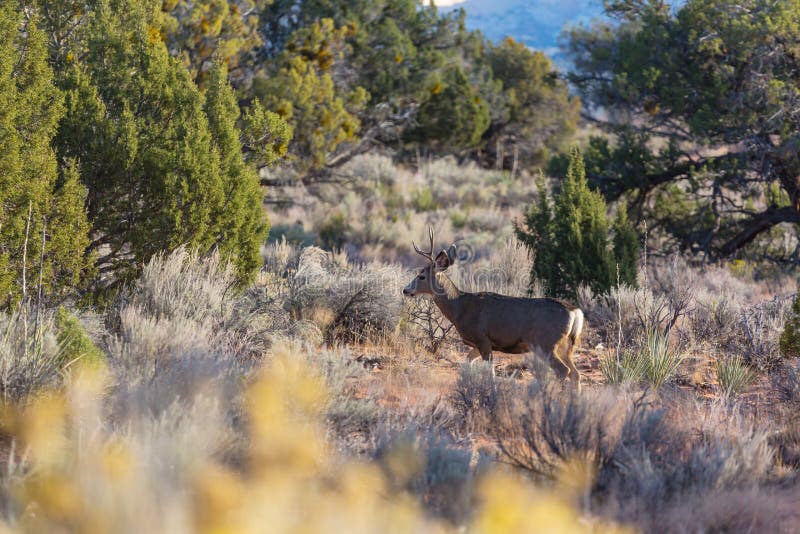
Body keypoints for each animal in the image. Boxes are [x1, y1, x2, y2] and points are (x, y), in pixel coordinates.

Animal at [402, 227, 584, 387]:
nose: (405, 290)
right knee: (575, 373)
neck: (459, 307)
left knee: (563, 370)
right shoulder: (477, 344)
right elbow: (467, 364)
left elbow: (490, 373)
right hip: (565, 346)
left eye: (421, 276)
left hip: (545, 343)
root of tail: (575, 312)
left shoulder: (482, 338)